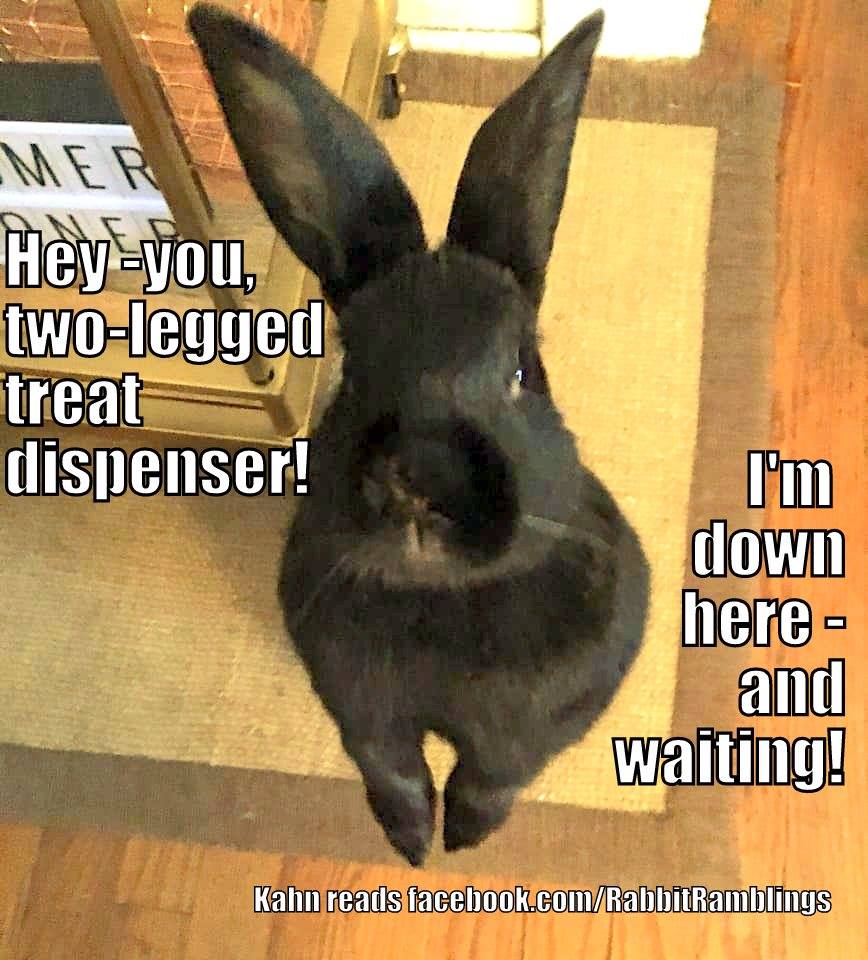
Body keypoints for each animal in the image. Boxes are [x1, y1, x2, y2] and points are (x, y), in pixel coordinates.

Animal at [189, 3, 650, 867]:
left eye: (522, 371)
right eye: (353, 369)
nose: (421, 480)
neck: (444, 604)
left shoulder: (527, 732)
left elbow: (492, 776)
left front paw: (462, 840)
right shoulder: (361, 716)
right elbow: (395, 771)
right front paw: (410, 843)